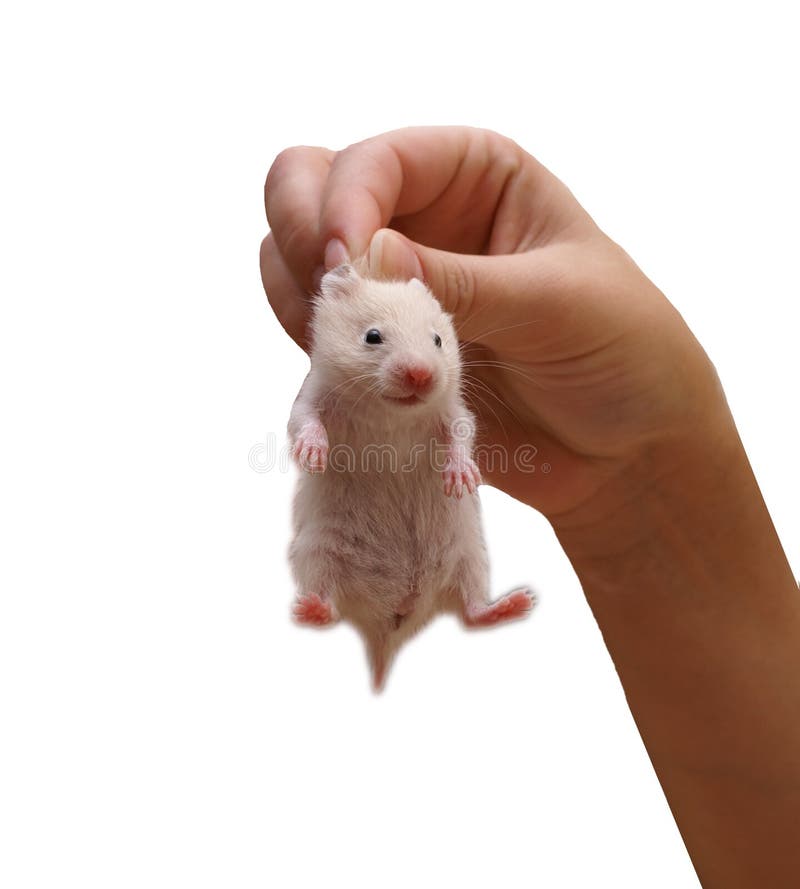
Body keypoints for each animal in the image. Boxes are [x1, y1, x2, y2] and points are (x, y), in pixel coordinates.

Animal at [287, 264, 533, 691]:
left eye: (437, 339)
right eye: (372, 336)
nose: (421, 375)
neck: (391, 414)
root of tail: (390, 626)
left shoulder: (453, 411)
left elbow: (462, 433)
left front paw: (461, 480)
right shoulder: (310, 398)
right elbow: (304, 423)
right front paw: (312, 457)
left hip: (469, 556)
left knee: (472, 611)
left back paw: (518, 604)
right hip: (317, 553)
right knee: (331, 609)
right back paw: (310, 610)